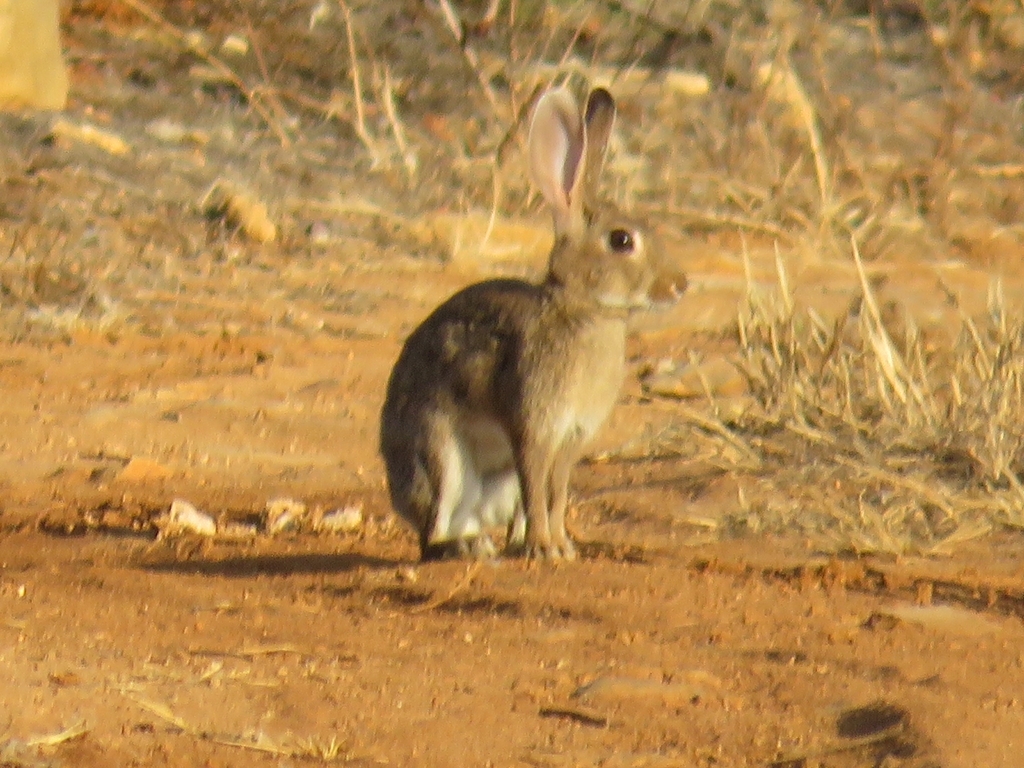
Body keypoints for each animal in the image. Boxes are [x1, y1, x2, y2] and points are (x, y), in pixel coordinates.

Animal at [379, 86, 687, 561]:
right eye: (621, 241)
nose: (679, 285)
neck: (583, 312)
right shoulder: (533, 427)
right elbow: (537, 488)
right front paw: (544, 548)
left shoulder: (571, 438)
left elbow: (555, 492)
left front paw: (560, 546)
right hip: (440, 457)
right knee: (433, 530)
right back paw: (465, 549)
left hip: (494, 484)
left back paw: (495, 543)